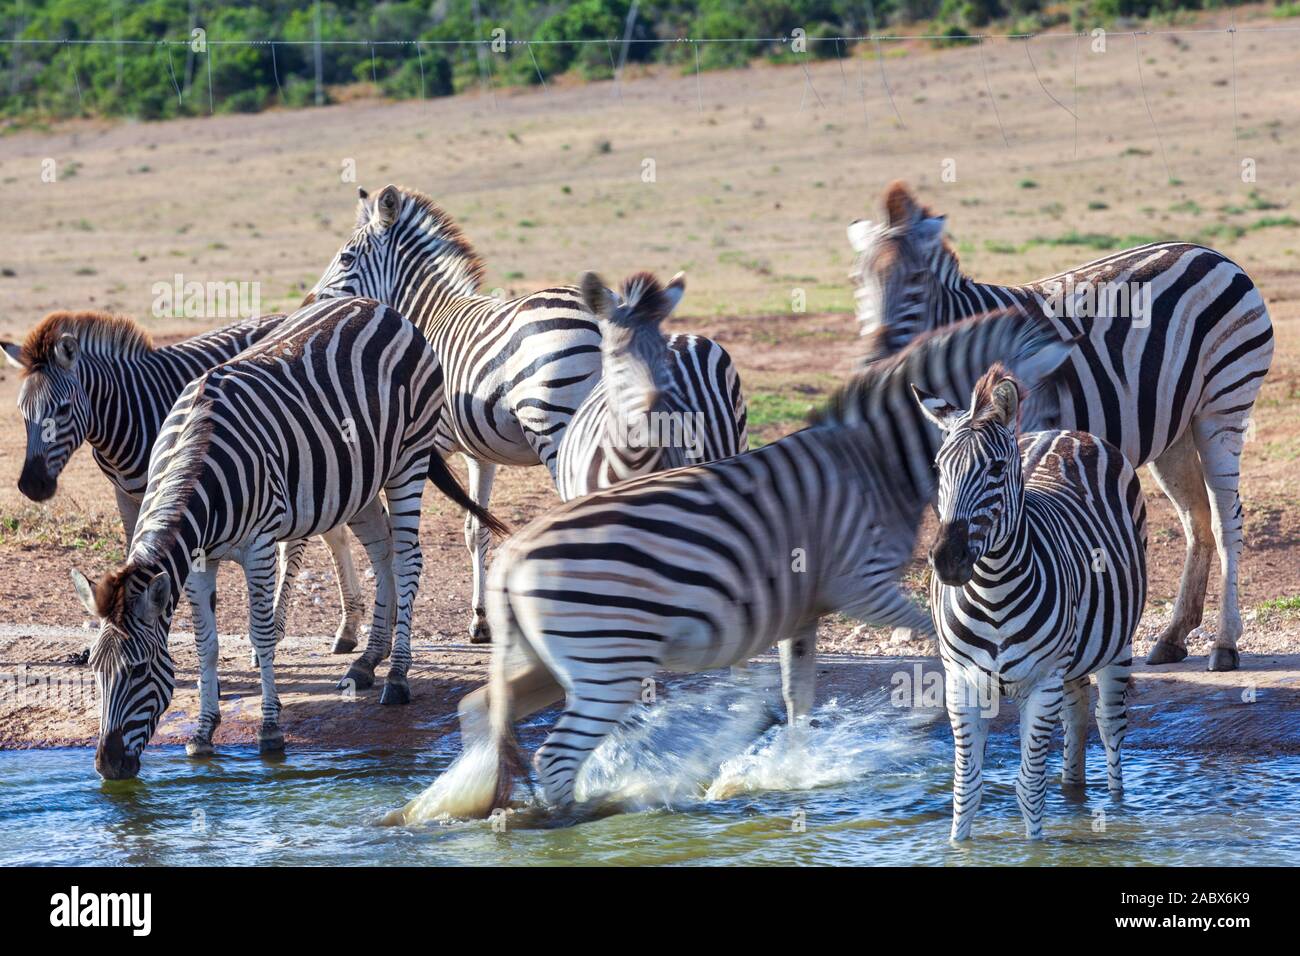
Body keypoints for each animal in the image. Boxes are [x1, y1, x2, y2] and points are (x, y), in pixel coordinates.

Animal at [2, 312, 366, 663]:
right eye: (21, 410)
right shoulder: (126, 494)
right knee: (334, 530)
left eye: (63, 409)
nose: (32, 485)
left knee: (296, 544)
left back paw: (279, 629)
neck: (128, 411)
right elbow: (134, 548)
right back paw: (348, 628)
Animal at [67, 296, 503, 778]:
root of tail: (379, 306)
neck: (198, 465)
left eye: (140, 670)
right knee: (383, 551)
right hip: (358, 480)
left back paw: (397, 677)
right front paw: (203, 732)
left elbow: (260, 634)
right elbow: (206, 644)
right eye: (94, 669)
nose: (108, 766)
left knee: (408, 558)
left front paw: (270, 730)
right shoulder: (197, 561)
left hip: (409, 457)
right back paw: (367, 662)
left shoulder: (258, 547)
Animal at [432, 305, 1075, 817]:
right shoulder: (862, 584)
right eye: (947, 466)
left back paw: (471, 800)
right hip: (605, 665)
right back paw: (574, 820)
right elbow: (924, 636)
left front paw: (789, 770)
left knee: (480, 707)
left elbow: (798, 696)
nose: (1065, 431)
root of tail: (512, 557)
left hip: (561, 659)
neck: (872, 458)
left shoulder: (805, 609)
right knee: (554, 756)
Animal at [847, 182, 1272, 672]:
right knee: (1196, 519)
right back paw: (1174, 636)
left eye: (916, 281)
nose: (872, 364)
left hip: (1224, 405)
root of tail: (1211, 252)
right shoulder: (952, 458)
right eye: (859, 282)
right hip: (1175, 431)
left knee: (1226, 519)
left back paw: (1224, 643)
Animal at [913, 365, 1147, 840]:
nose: (947, 559)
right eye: (939, 467)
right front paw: (958, 846)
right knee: (1077, 713)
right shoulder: (961, 681)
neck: (992, 592)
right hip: (1073, 659)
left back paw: (1116, 809)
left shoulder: (1042, 682)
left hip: (1118, 645)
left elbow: (1028, 788)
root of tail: (1067, 431)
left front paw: (1033, 847)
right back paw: (1074, 791)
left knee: (1109, 725)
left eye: (996, 468)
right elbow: (967, 789)